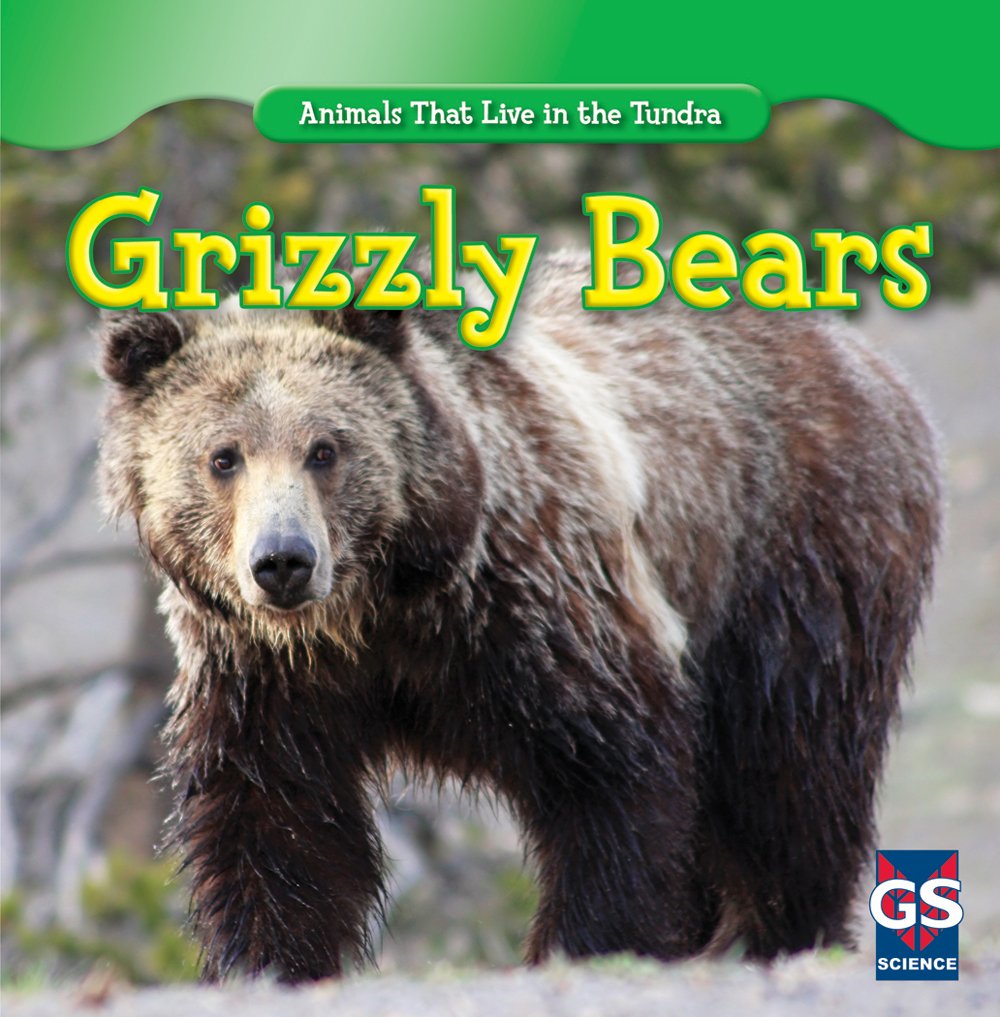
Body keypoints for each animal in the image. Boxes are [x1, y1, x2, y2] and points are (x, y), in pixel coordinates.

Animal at [97, 252, 941, 982]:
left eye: (325, 448)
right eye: (223, 455)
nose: (283, 560)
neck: (379, 608)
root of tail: (861, 353)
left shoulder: (533, 606)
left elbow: (612, 778)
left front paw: (586, 943)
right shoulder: (265, 673)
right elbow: (275, 818)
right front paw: (271, 960)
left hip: (789, 560)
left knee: (789, 771)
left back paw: (777, 932)